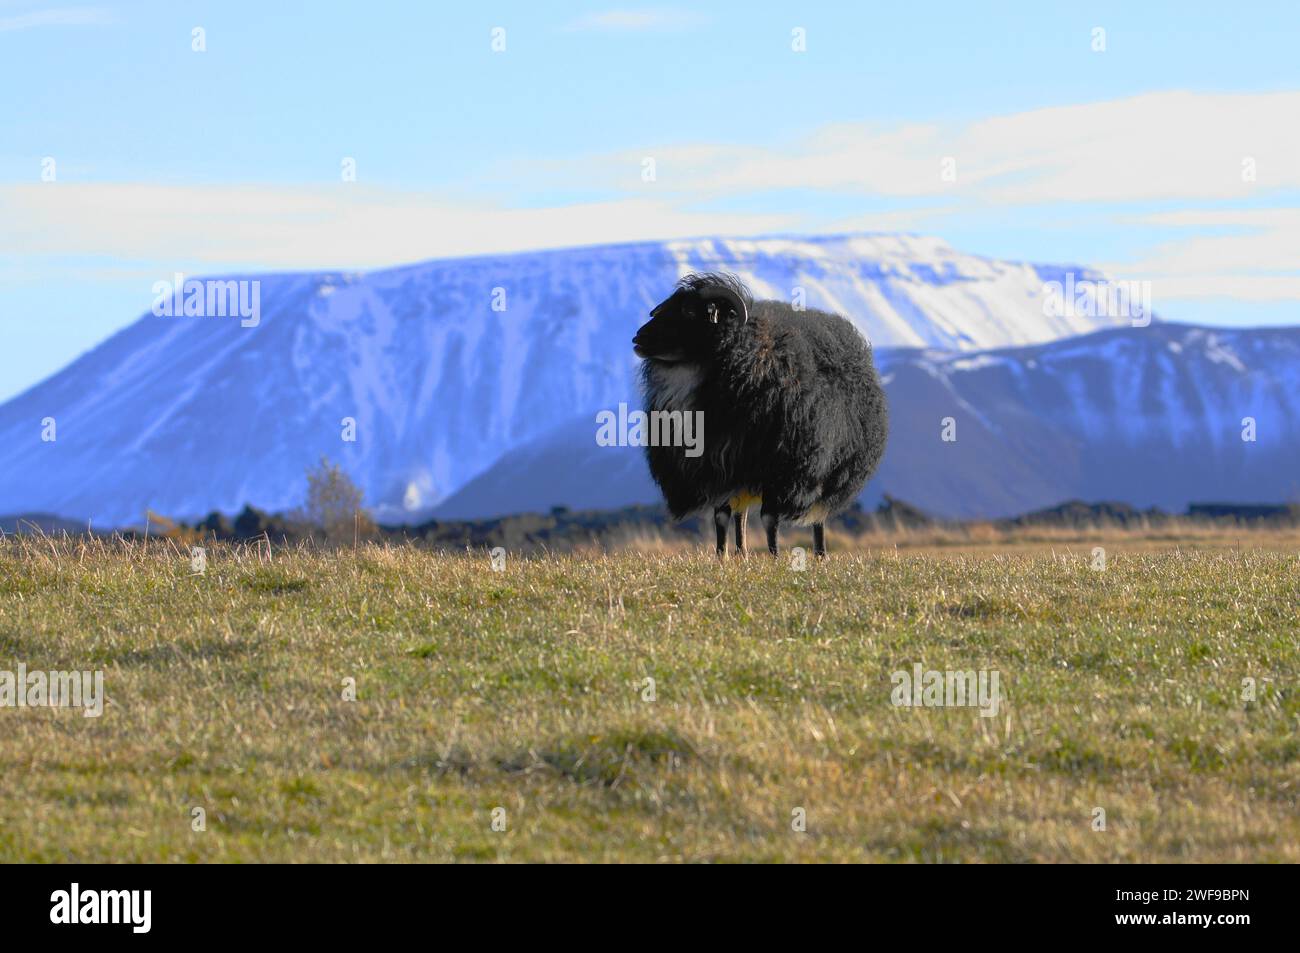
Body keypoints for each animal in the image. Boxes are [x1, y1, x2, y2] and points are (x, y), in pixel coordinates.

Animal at [632, 272, 888, 558]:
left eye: (688, 311)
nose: (638, 338)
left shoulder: (781, 469)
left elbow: (769, 518)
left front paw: (774, 557)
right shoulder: (717, 466)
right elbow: (721, 516)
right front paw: (721, 557)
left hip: (828, 471)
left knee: (817, 516)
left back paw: (820, 555)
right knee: (741, 515)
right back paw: (742, 553)